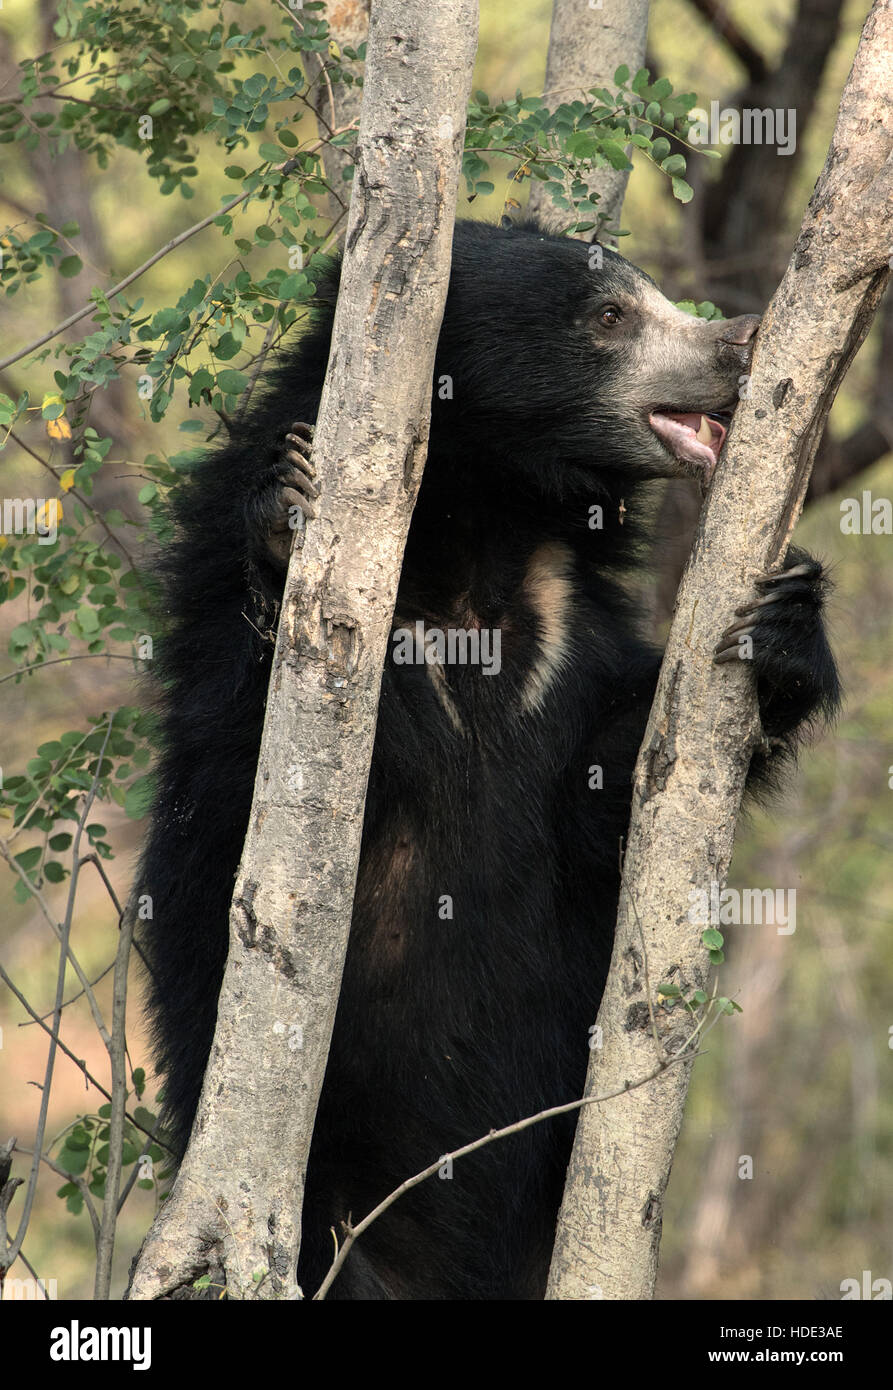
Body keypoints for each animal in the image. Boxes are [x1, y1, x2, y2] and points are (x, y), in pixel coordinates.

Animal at [135, 217, 840, 1300]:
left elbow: (621, 781)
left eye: (649, 296)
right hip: (330, 1193)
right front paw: (286, 514)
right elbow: (245, 775)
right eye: (608, 317)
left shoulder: (568, 637)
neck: (480, 528)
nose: (741, 340)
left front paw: (786, 626)